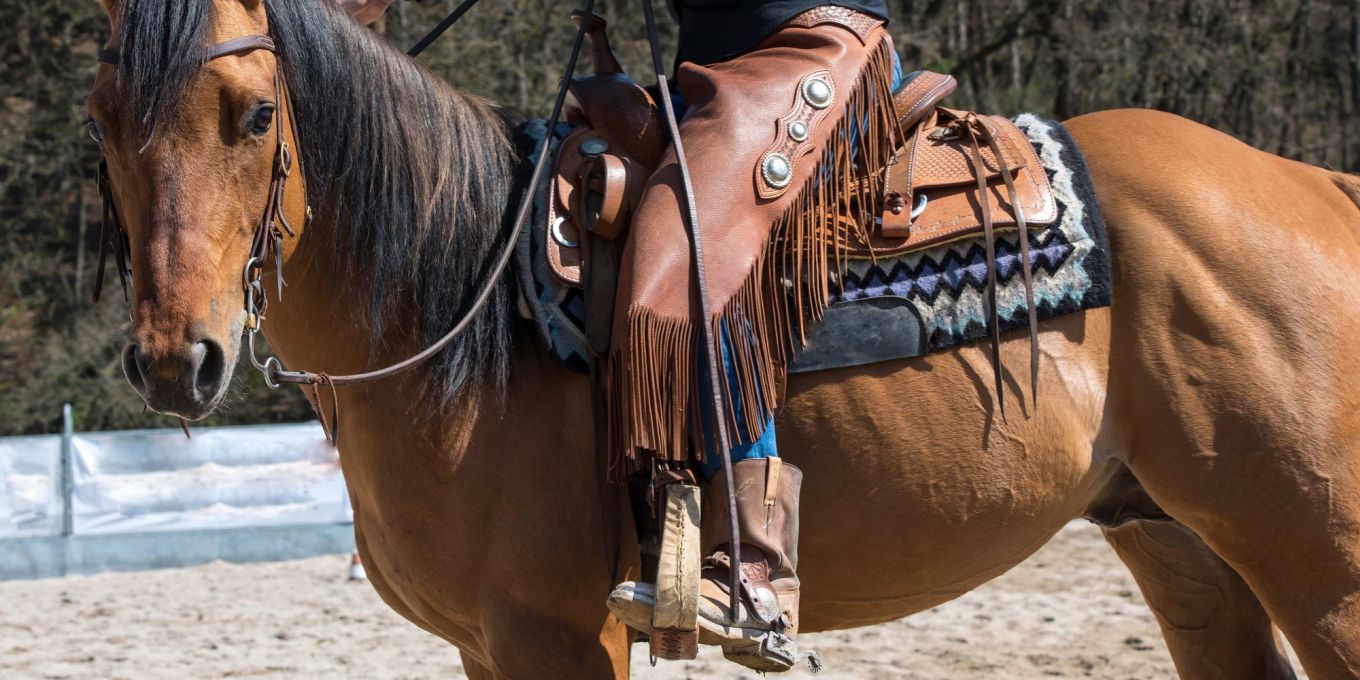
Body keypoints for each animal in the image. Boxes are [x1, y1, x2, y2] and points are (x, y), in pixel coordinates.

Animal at [88, 0, 1360, 677]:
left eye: (255, 114)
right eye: (102, 120)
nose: (177, 359)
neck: (461, 317)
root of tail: (1318, 183)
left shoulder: (559, 634)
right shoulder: (483, 644)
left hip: (1321, 559)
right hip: (1178, 542)